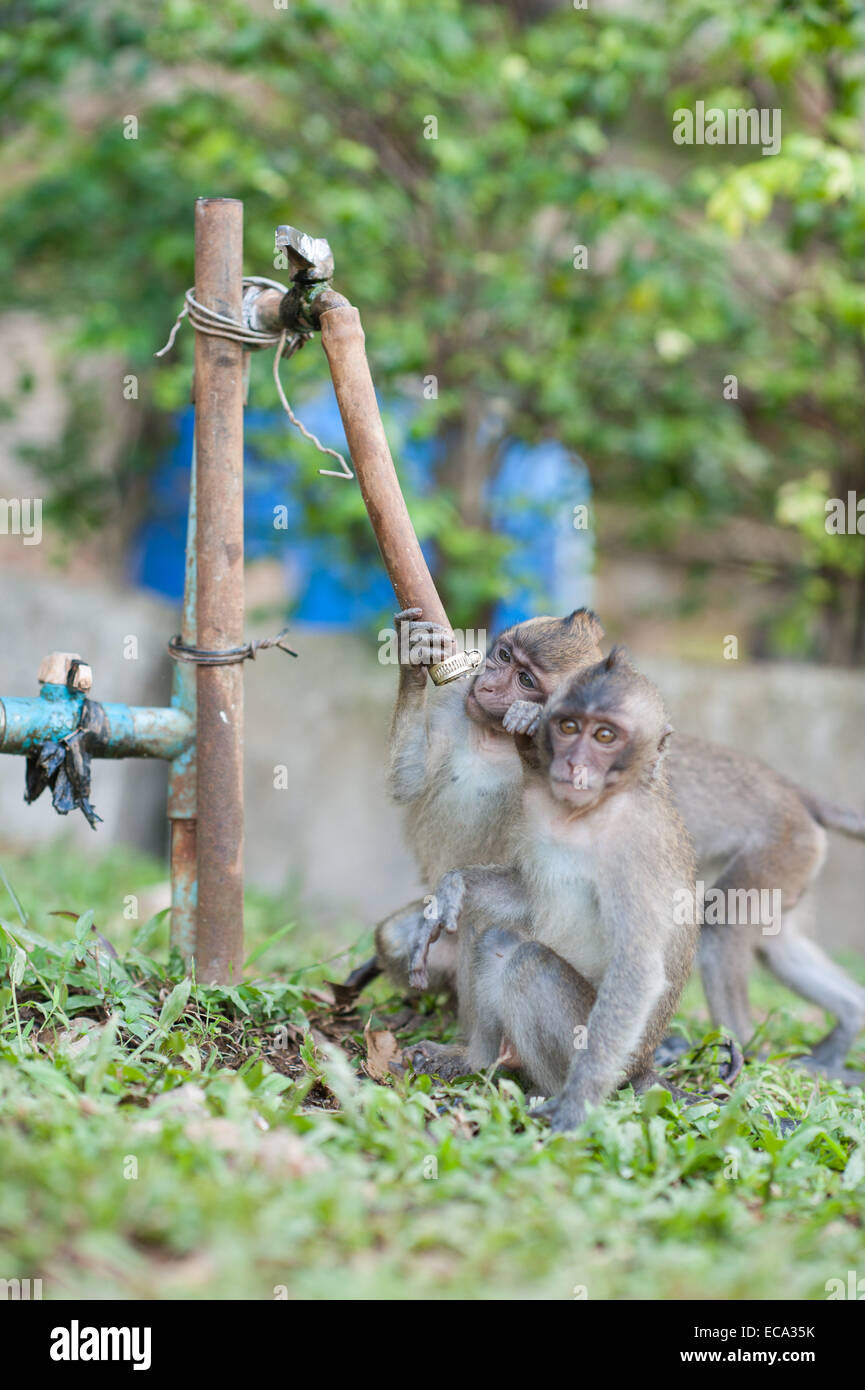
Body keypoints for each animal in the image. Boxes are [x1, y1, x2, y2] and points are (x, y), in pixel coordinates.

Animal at [348, 608, 865, 1081]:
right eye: (503, 656)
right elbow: (410, 783)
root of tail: (792, 792)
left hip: (778, 849)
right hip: (793, 859)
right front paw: (415, 657)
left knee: (720, 932)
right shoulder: (460, 700)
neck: (494, 737)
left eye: (525, 680)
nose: (489, 685)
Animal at [402, 651, 700, 1133]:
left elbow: (637, 971)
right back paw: (476, 1062)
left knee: (530, 964)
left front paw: (575, 1104)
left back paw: (545, 1090)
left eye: (604, 735)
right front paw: (451, 888)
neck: (589, 811)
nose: (573, 764)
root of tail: (645, 1066)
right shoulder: (535, 805)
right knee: (498, 941)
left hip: (604, 1049)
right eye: (568, 727)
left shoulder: (636, 850)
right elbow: (527, 897)